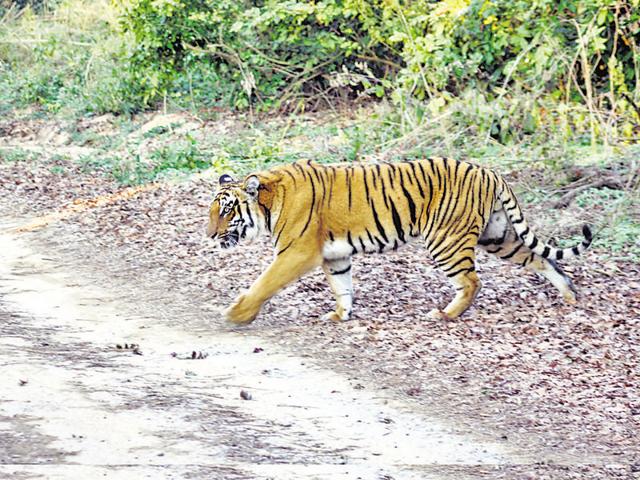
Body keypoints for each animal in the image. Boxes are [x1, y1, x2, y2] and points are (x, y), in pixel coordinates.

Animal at [206, 158, 592, 324]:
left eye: (226, 211)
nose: (209, 235)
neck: (269, 201)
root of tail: (490, 171)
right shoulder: (335, 257)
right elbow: (343, 287)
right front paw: (341, 315)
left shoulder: (297, 253)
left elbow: (263, 283)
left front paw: (236, 314)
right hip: (497, 235)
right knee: (540, 258)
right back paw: (570, 294)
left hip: (447, 240)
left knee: (472, 280)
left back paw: (444, 314)